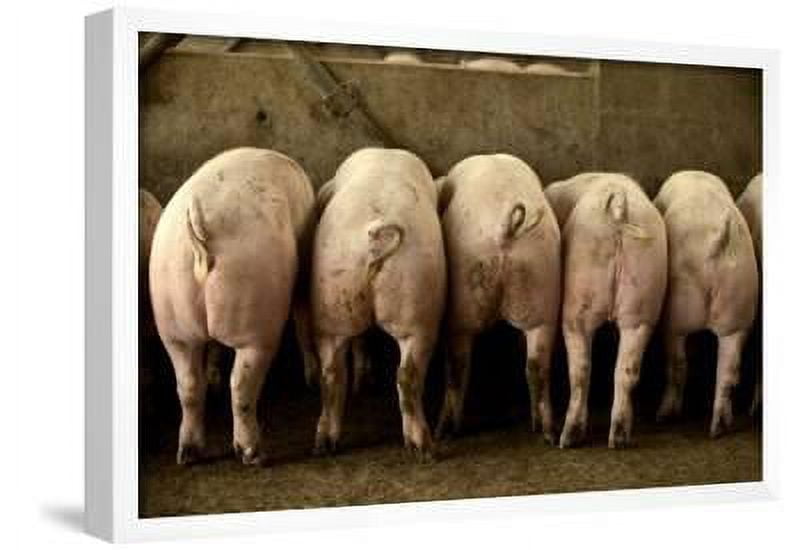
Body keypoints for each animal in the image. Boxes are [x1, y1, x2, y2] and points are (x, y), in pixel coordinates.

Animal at [149, 147, 316, 465]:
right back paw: (254, 455)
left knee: (188, 385)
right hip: (255, 316)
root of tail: (201, 232)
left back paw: (188, 454)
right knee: (240, 386)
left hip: (171, 317)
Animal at [311, 148, 446, 458]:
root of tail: (376, 233)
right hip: (415, 305)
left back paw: (326, 444)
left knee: (332, 375)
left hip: (334, 301)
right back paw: (424, 448)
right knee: (406, 375)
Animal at [434, 154, 561, 443]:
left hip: (462, 307)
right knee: (537, 367)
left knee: (457, 367)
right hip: (542, 294)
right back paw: (546, 432)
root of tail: (505, 230)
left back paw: (445, 431)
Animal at [545, 173, 667, 448]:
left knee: (580, 370)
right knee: (626, 371)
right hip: (642, 299)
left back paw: (568, 439)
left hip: (577, 297)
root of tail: (618, 201)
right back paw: (618, 439)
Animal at [655, 171, 758, 438]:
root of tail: (717, 243)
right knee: (729, 371)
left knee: (678, 364)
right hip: (739, 306)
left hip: (677, 314)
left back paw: (665, 415)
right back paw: (718, 429)